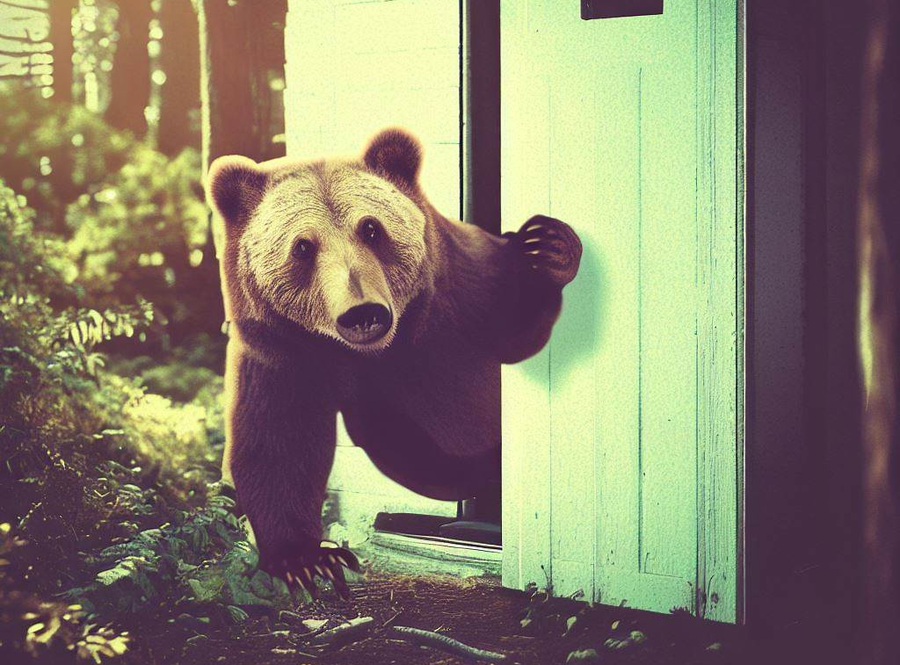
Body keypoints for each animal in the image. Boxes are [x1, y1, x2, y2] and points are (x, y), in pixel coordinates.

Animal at [206, 128, 581, 598]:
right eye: (303, 246)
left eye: (371, 227)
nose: (363, 311)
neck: (371, 355)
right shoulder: (282, 354)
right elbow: (277, 444)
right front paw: (309, 561)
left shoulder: (456, 295)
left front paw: (545, 245)